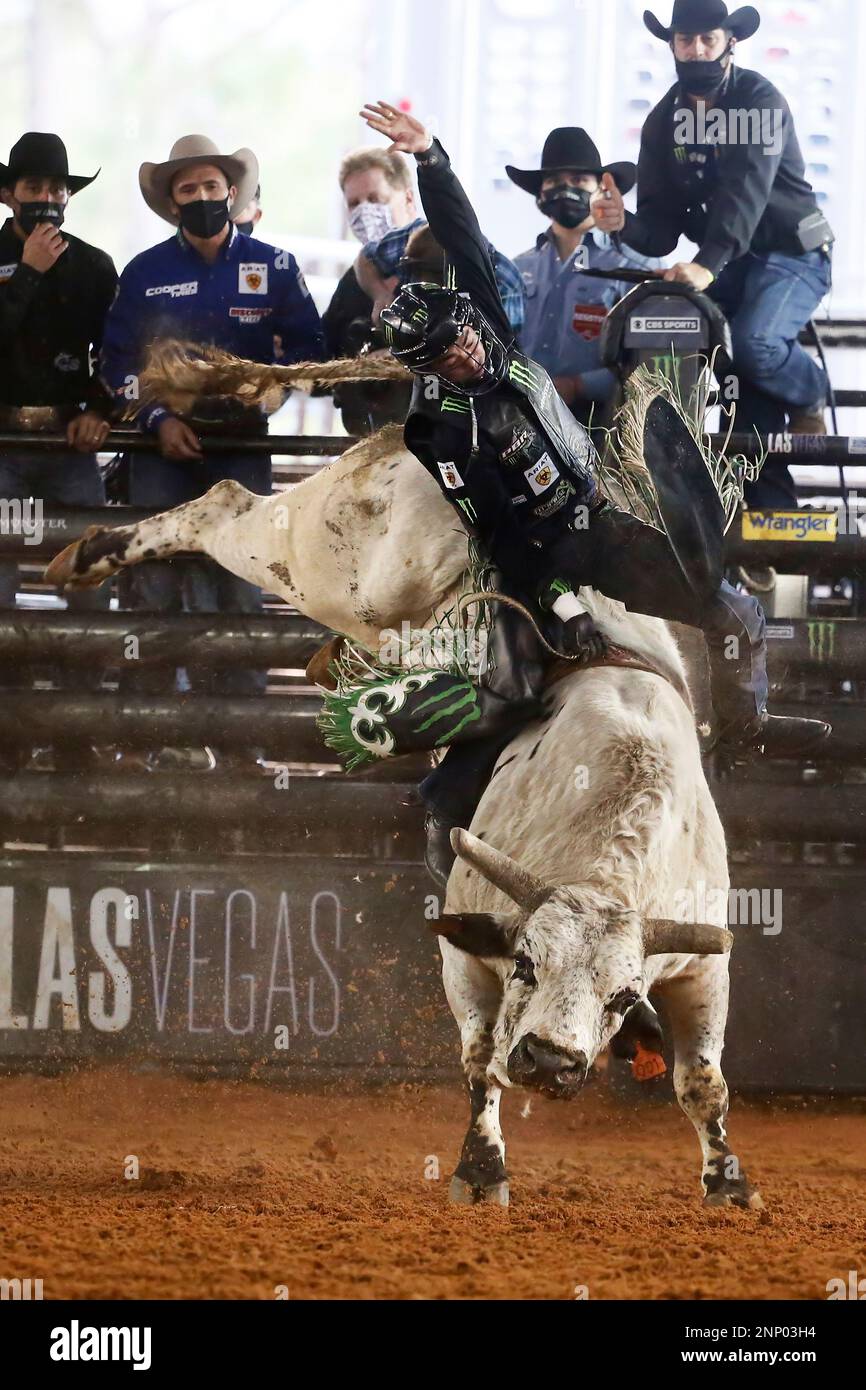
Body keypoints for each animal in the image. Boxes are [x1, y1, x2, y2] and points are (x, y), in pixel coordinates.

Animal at [45, 413, 762, 1213]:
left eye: (622, 996)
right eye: (525, 962)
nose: (550, 1063)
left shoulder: (703, 969)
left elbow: (702, 1082)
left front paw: (729, 1182)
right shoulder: (465, 949)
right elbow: (479, 1058)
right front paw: (481, 1170)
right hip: (336, 565)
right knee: (226, 504)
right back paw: (87, 556)